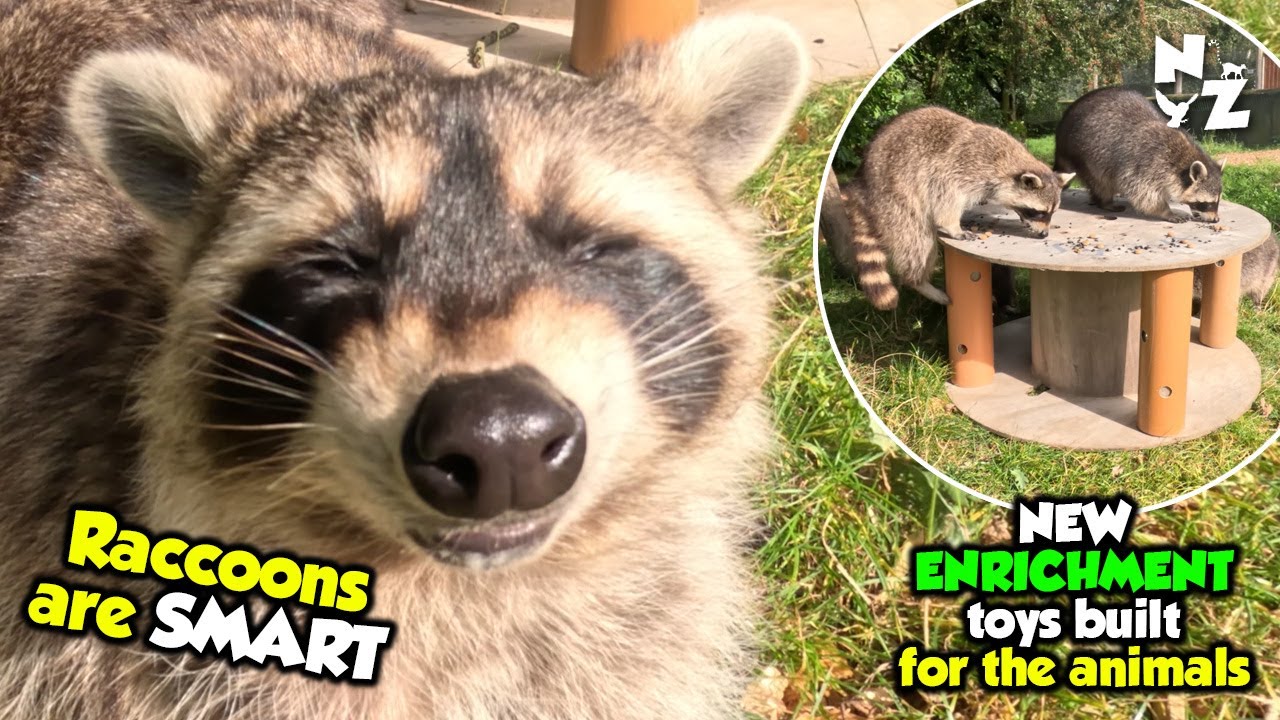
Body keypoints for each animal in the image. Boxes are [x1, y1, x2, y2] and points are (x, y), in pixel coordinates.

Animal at [835, 106, 1072, 308]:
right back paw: (918, 281)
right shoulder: (960, 169)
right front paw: (953, 226)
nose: (1043, 234)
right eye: (1038, 212)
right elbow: (946, 199)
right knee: (917, 240)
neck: (1008, 166)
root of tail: (862, 182)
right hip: (894, 196)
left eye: (1051, 213)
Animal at [1055, 87, 1225, 223]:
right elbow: (1145, 195)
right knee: (1100, 180)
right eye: (1207, 204)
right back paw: (1105, 201)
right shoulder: (1148, 163)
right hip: (1084, 153)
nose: (1215, 220)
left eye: (1217, 202)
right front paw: (1166, 211)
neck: (1182, 161)